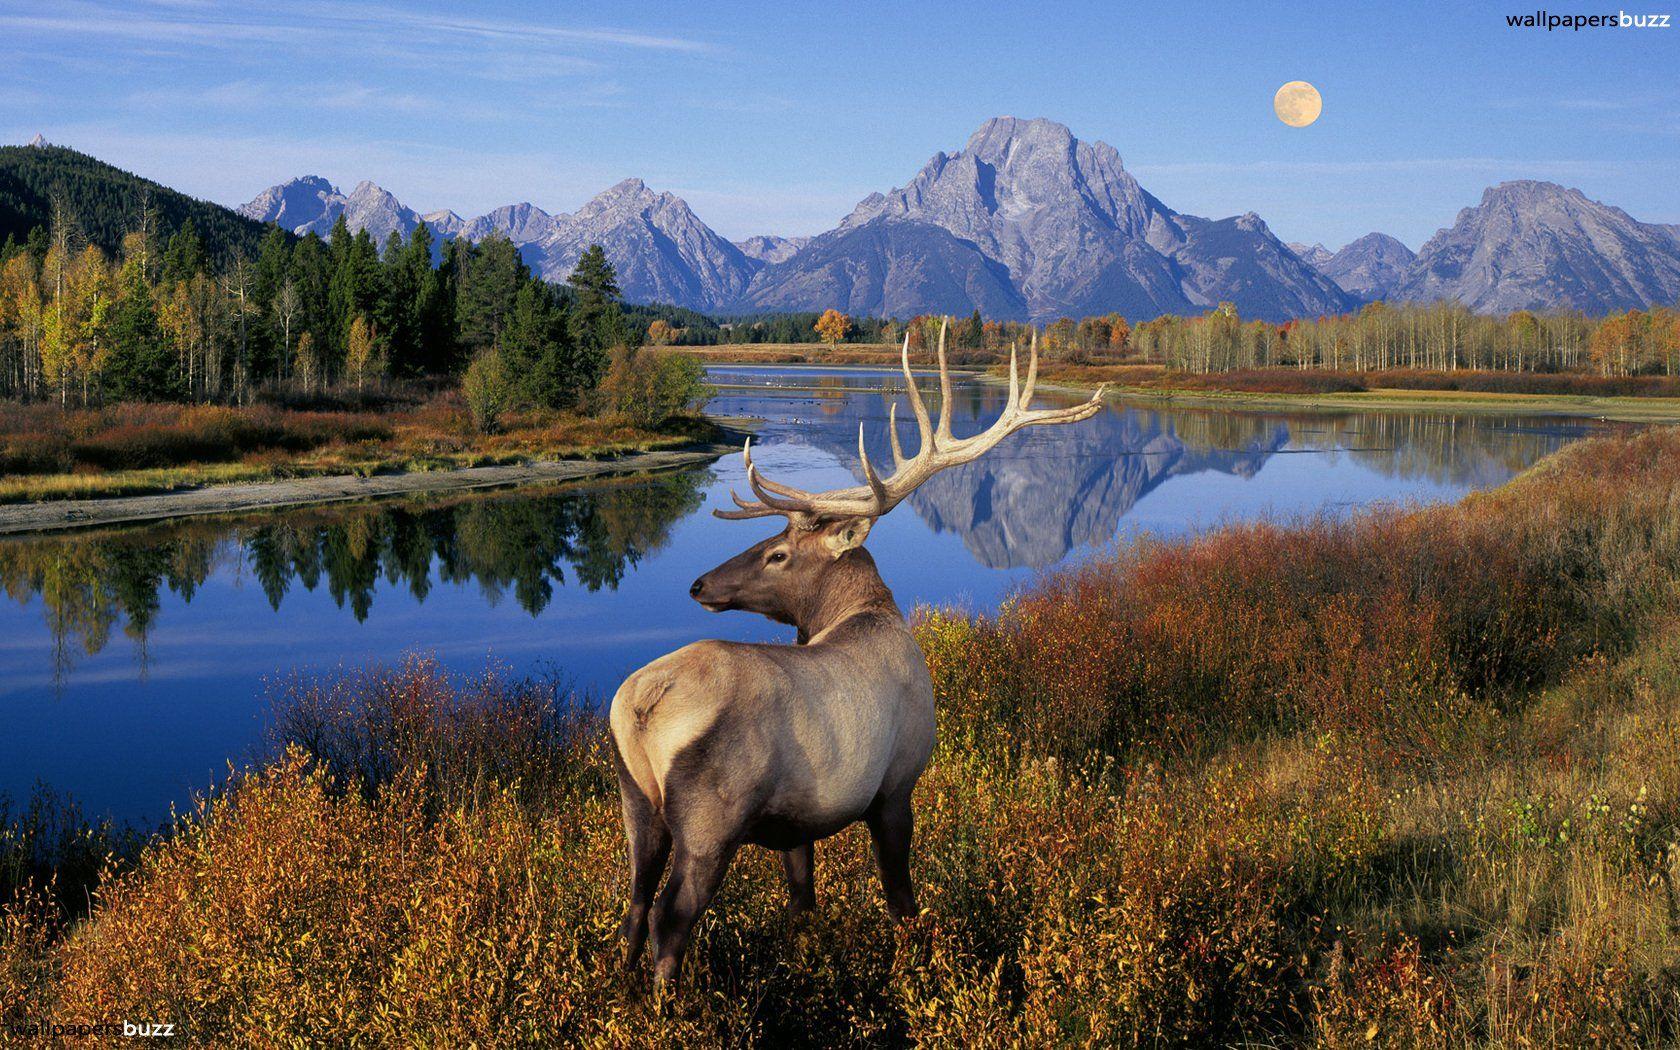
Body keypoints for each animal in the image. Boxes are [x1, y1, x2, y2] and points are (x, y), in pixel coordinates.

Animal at [608, 322, 1106, 988]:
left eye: (777, 554)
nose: (699, 584)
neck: (866, 613)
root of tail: (640, 706)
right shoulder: (896, 785)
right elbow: (901, 901)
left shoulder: (795, 823)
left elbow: (803, 903)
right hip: (712, 818)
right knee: (671, 918)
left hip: (638, 803)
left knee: (635, 907)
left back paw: (624, 995)